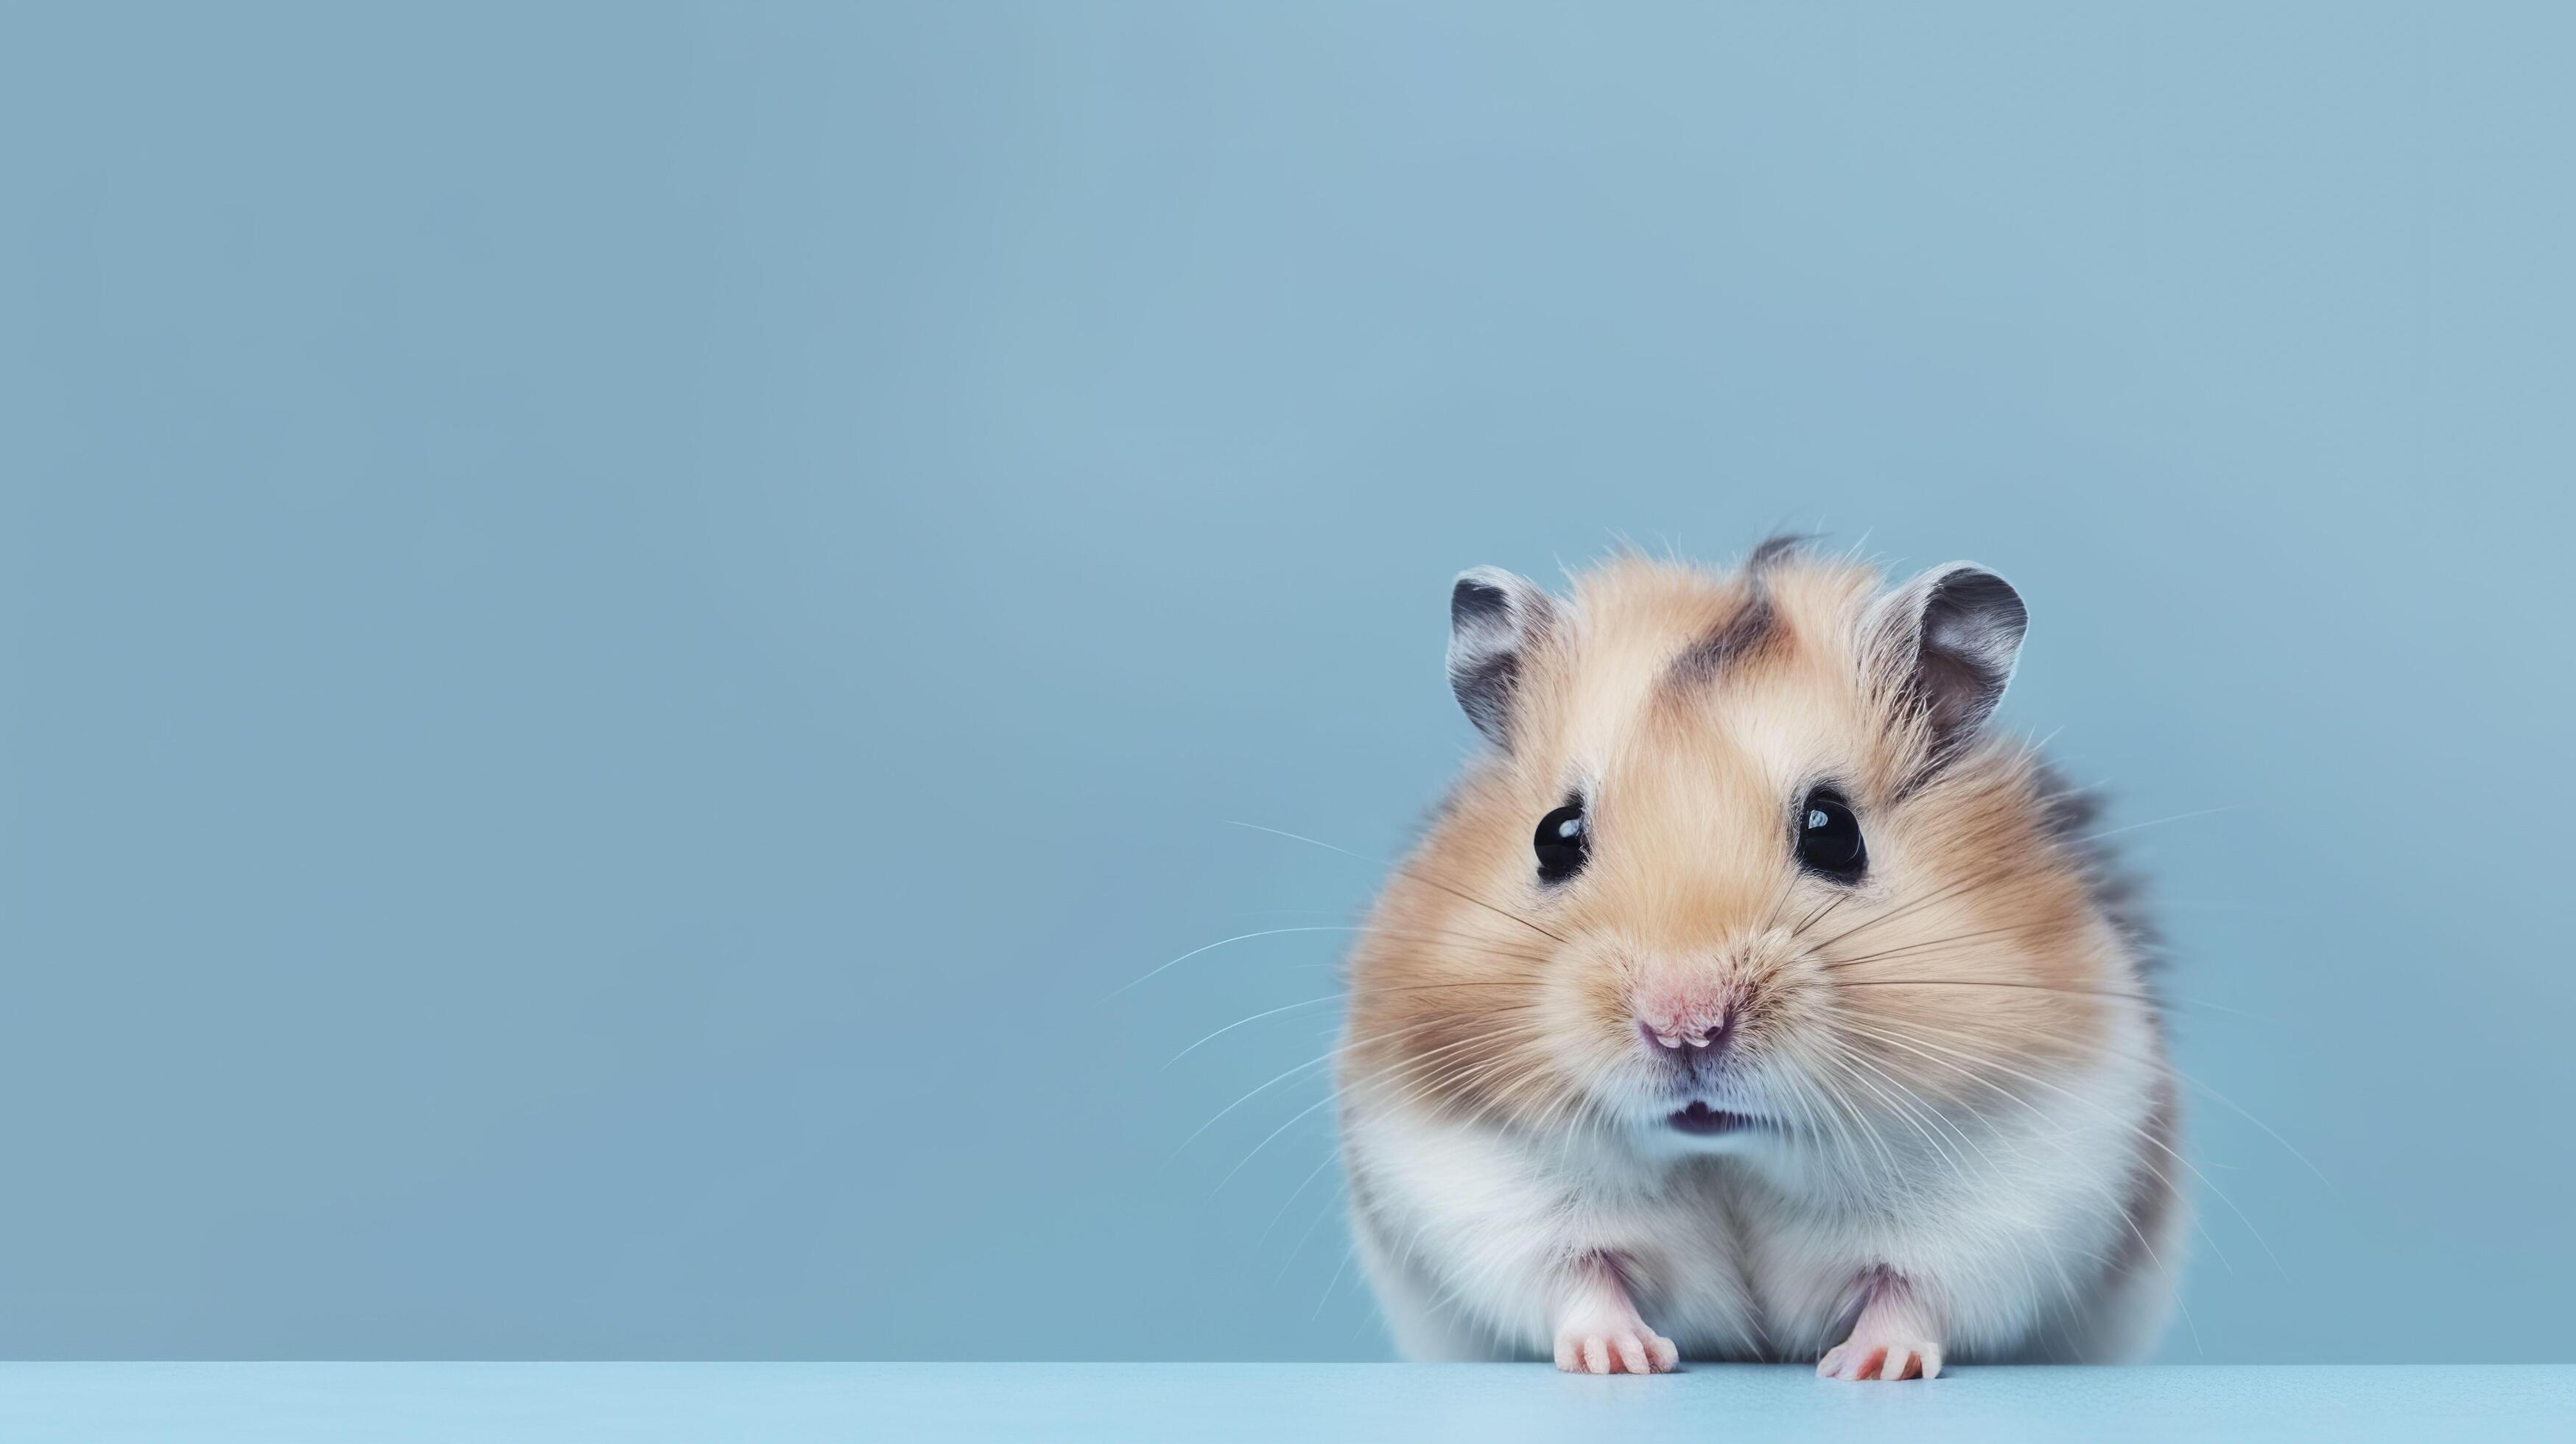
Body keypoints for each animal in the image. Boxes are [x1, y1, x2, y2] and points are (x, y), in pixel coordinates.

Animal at [1336, 540, 2180, 1379]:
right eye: (1554, 835)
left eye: (1833, 831)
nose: (1684, 1025)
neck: (1728, 1156)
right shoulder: (1476, 1194)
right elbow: (1577, 1277)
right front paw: (1622, 1359)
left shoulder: (2023, 1190)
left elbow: (1910, 1291)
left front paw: (1868, 1367)